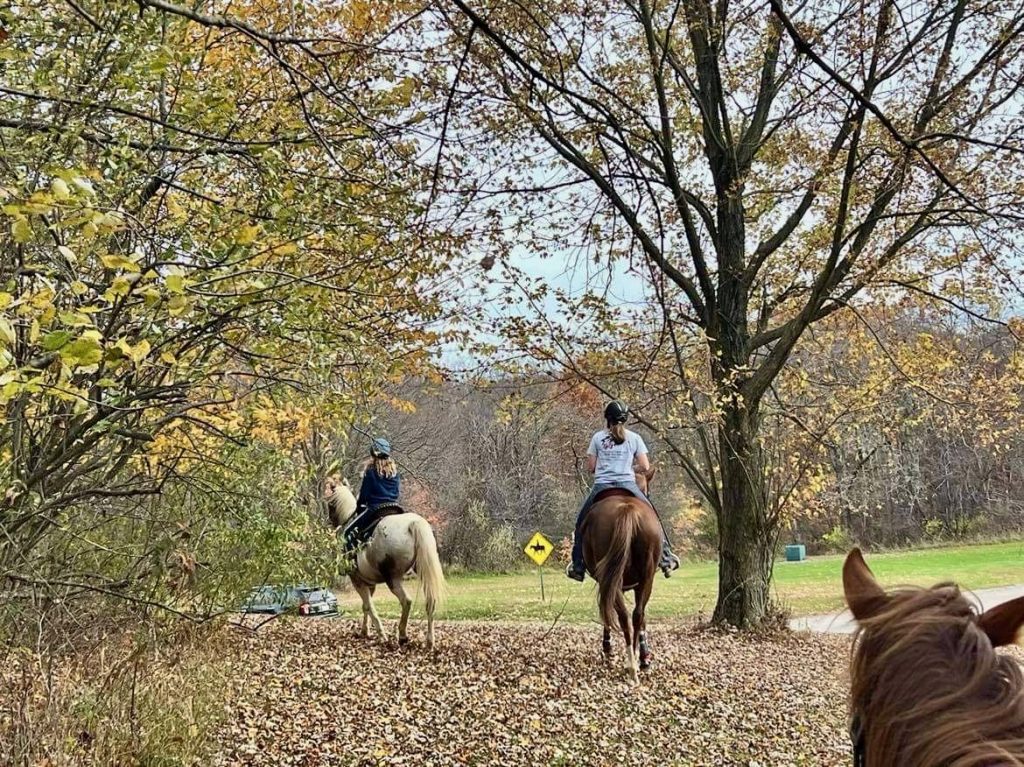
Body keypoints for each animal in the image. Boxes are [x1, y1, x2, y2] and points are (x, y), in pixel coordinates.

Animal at [323, 476, 445, 649]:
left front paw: (380, 634)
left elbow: (369, 606)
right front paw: (364, 631)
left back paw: (402, 635)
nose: (330, 524)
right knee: (430, 601)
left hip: (392, 578)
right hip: (422, 572)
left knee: (406, 601)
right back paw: (429, 641)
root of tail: (413, 524)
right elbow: (365, 606)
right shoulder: (369, 583)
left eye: (330, 504)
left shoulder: (357, 580)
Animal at [580, 467, 661, 681]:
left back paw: (631, 663)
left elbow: (606, 610)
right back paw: (635, 661)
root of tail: (627, 509)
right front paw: (644, 657)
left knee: (624, 615)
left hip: (613, 579)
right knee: (636, 614)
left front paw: (607, 648)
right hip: (645, 578)